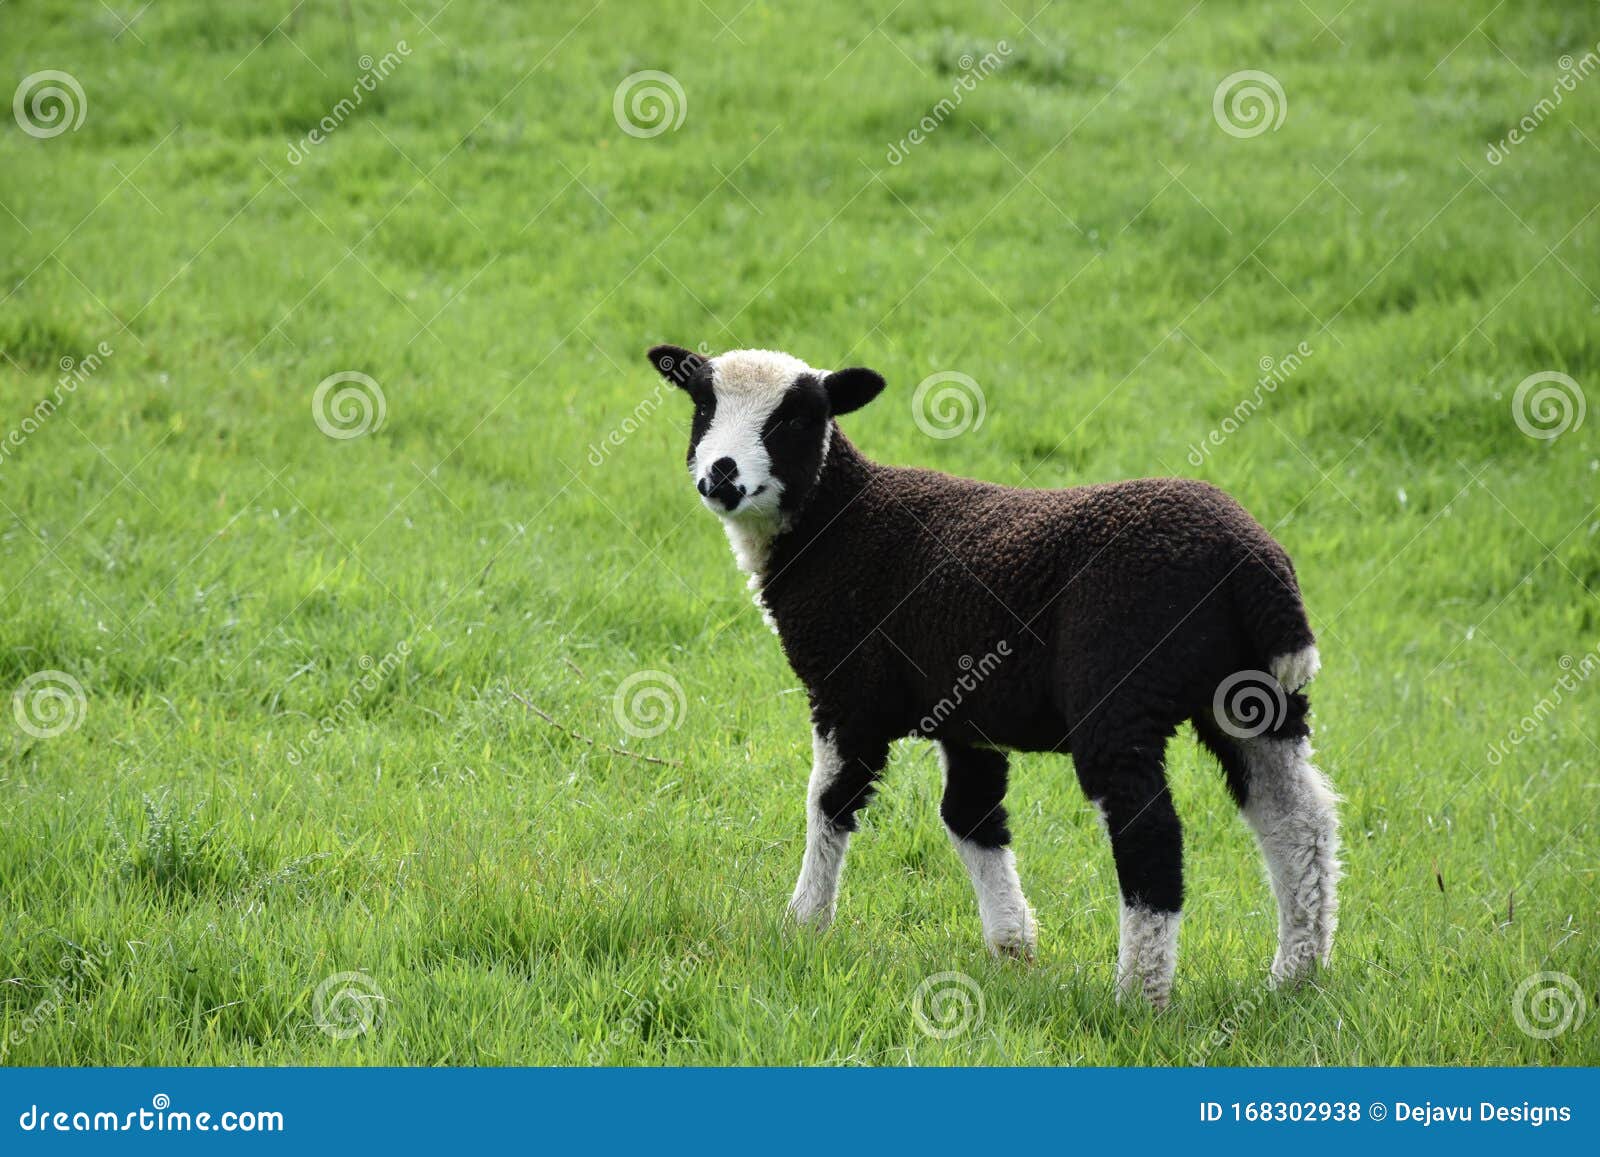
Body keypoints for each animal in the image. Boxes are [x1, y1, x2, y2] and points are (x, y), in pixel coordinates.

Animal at [644, 343, 1340, 1007]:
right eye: (702, 405)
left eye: (793, 418)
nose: (720, 474)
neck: (838, 524)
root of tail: (1252, 565)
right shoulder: (962, 710)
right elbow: (972, 816)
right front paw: (1012, 947)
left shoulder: (849, 690)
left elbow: (831, 803)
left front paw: (805, 923)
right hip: (1254, 696)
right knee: (1298, 820)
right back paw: (1295, 976)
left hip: (1119, 693)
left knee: (1151, 831)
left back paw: (1140, 995)